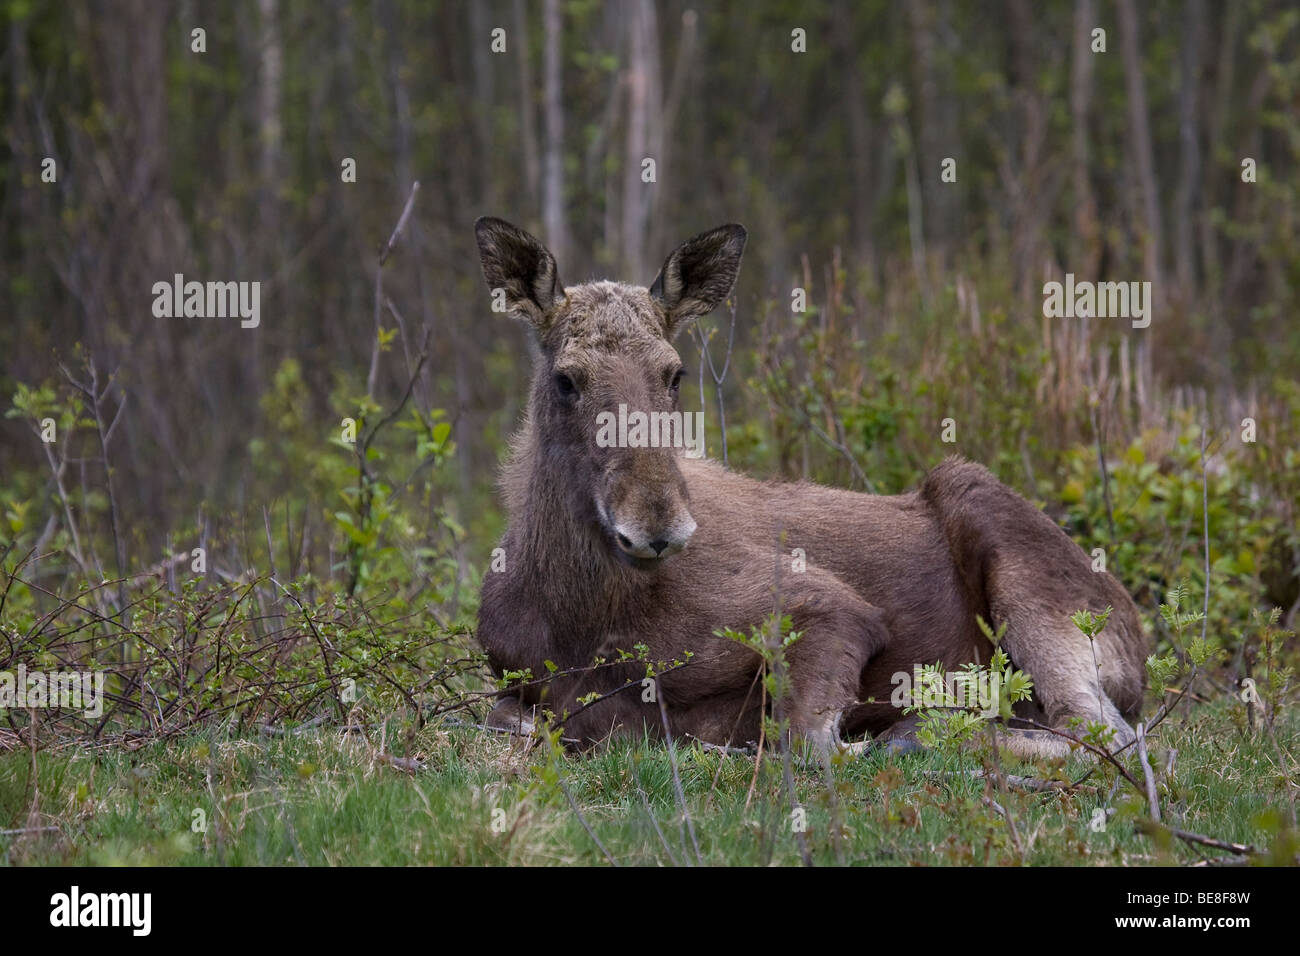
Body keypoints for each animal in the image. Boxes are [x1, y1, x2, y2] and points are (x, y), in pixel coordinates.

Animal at [473, 216, 1149, 759]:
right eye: (567, 379)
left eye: (674, 373)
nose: (658, 526)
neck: (580, 614)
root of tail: (1139, 642)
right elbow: (513, 717)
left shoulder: (832, 608)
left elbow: (804, 740)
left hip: (1015, 562)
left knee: (1110, 736)